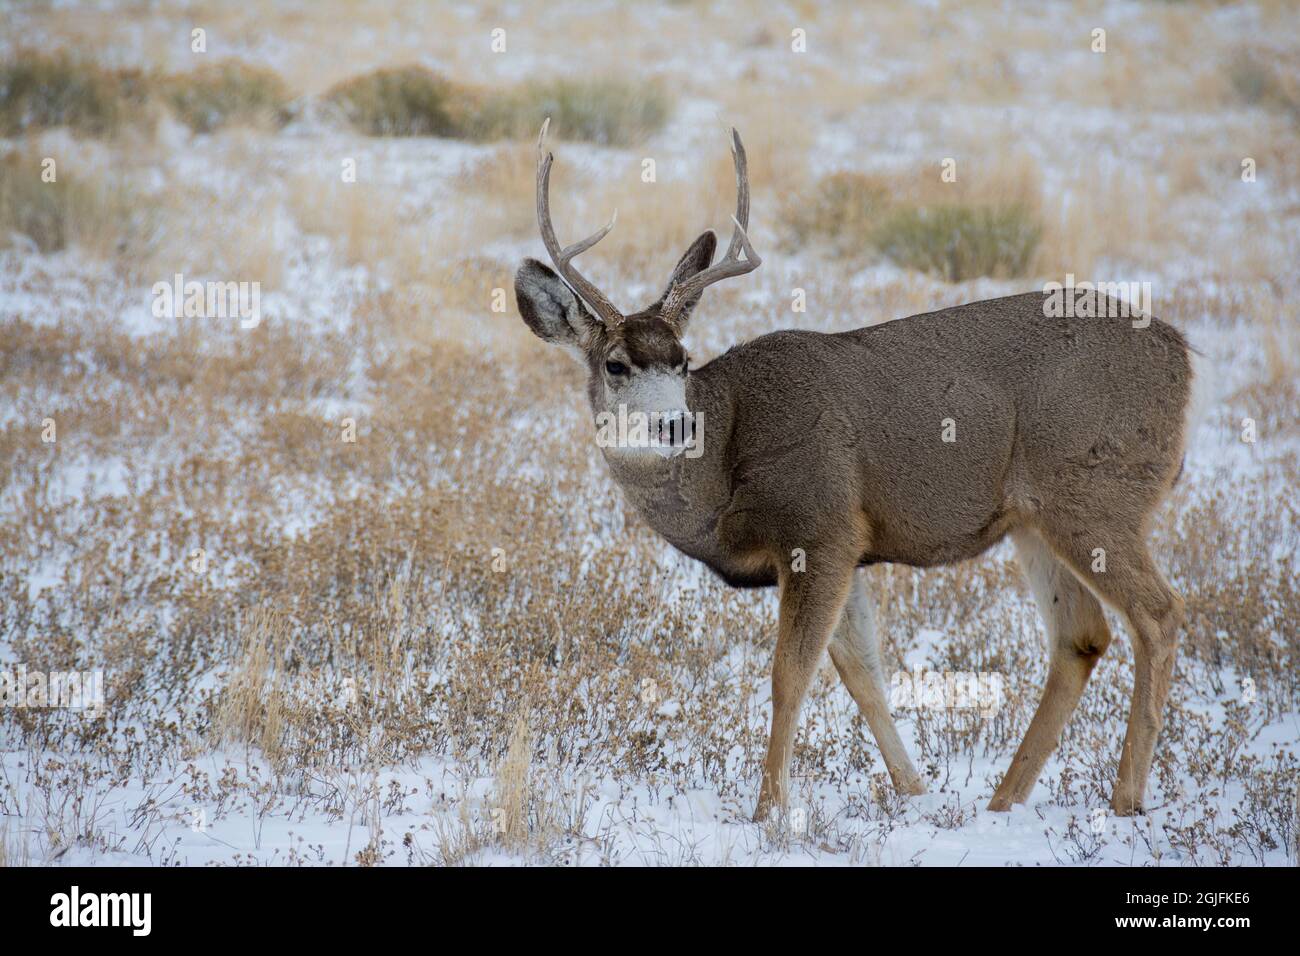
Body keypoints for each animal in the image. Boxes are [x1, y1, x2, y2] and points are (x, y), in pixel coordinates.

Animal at [513, 119, 1194, 822]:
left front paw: (768, 814)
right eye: (616, 364)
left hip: (1094, 492)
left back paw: (1125, 799)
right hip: (1034, 519)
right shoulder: (849, 547)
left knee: (1159, 614)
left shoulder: (820, 524)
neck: (725, 469)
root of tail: (1183, 356)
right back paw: (1003, 802)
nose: (674, 425)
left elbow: (790, 675)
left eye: (683, 360)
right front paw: (914, 791)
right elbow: (862, 672)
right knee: (1081, 637)